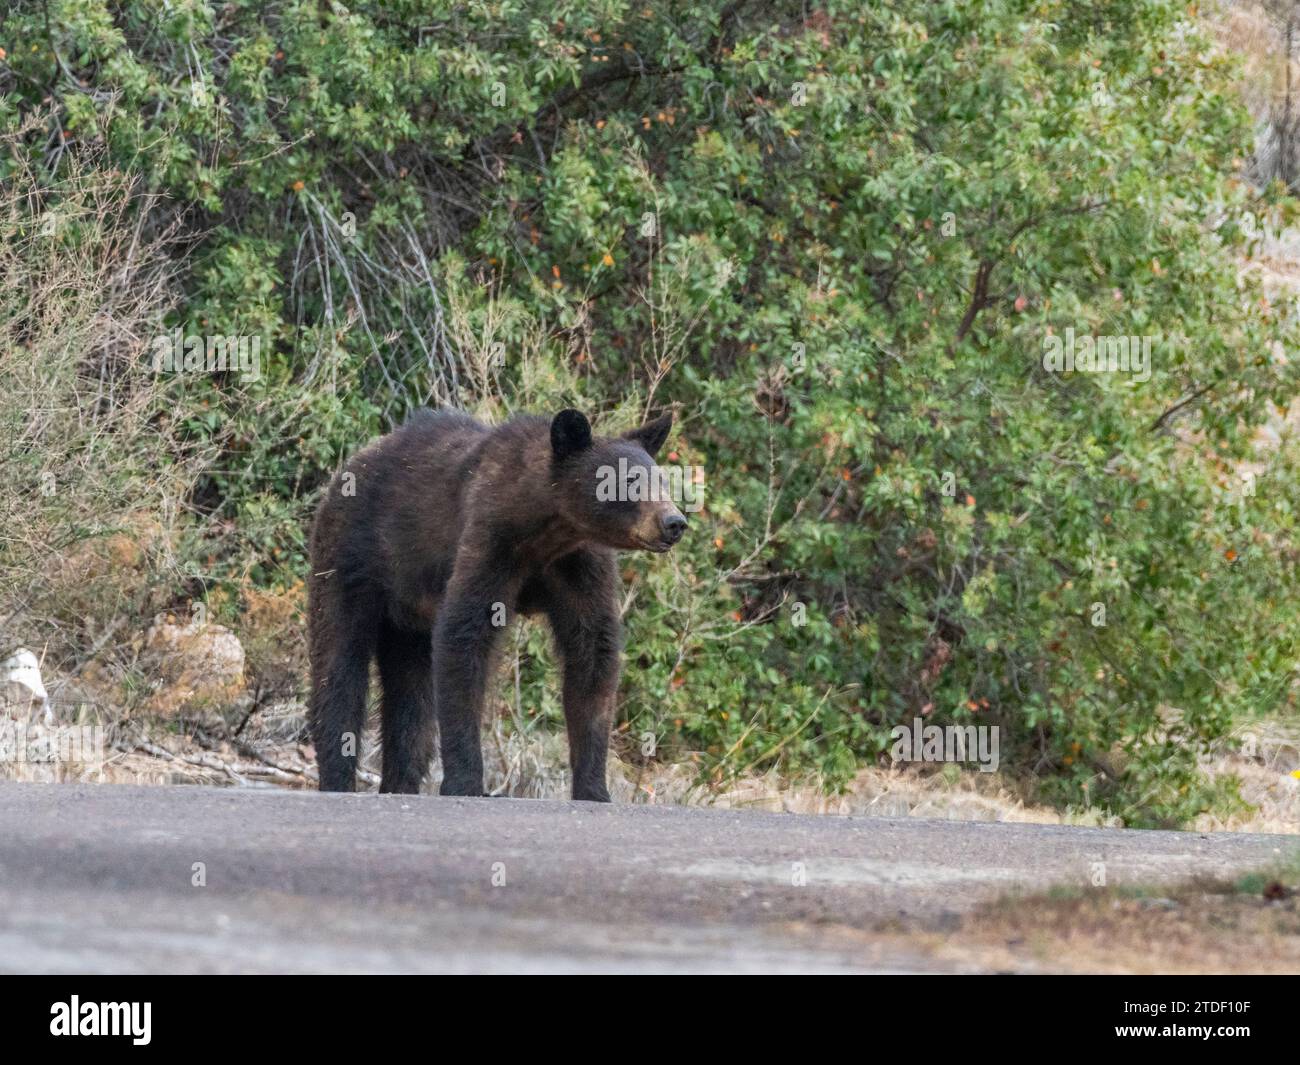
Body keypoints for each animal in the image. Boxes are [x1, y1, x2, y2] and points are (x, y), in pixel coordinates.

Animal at [307, 407, 686, 801]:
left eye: (662, 480)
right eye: (629, 480)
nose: (674, 522)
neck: (548, 531)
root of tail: (350, 465)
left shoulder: (579, 565)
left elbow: (593, 652)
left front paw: (594, 788)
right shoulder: (490, 541)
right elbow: (464, 635)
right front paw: (466, 782)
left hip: (409, 615)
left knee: (412, 697)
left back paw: (400, 785)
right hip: (351, 559)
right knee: (338, 663)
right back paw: (337, 778)